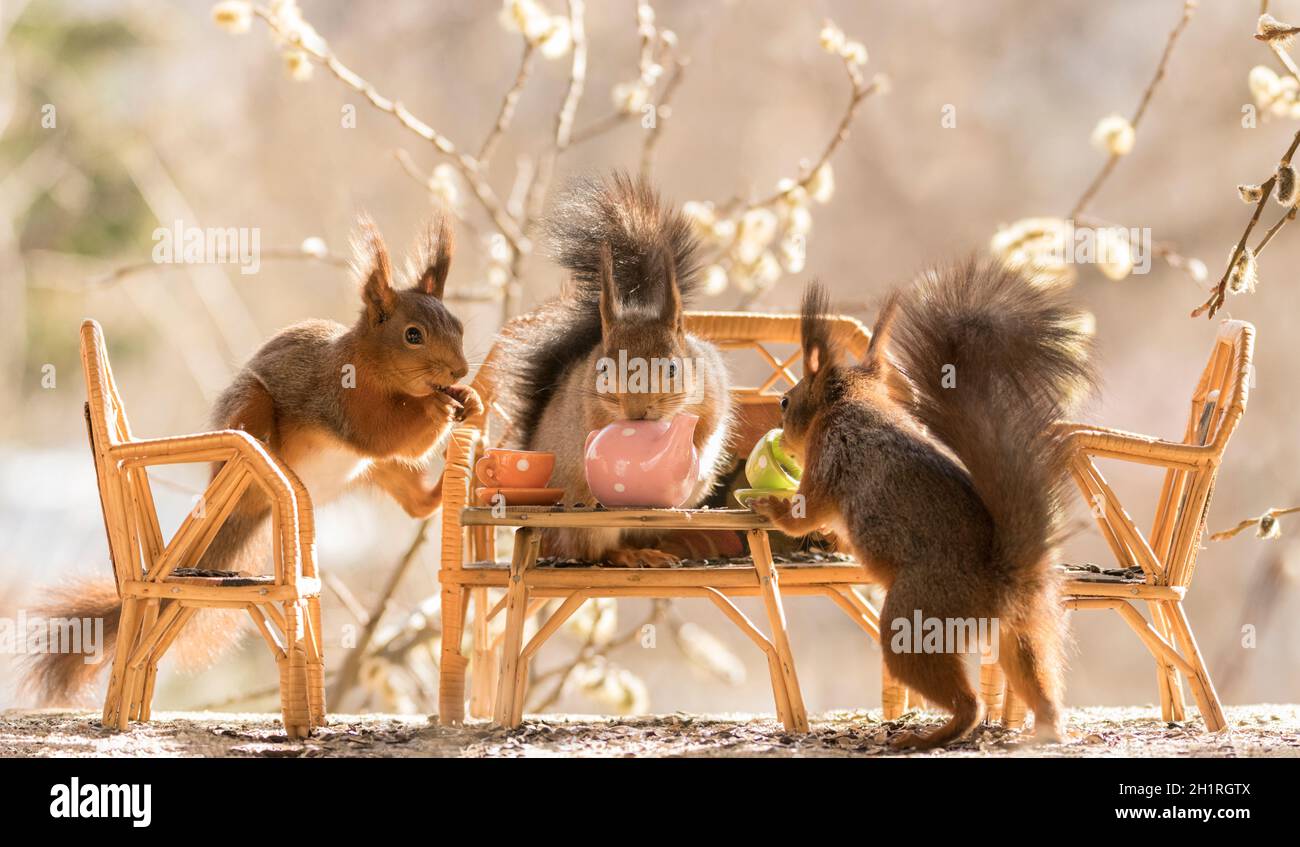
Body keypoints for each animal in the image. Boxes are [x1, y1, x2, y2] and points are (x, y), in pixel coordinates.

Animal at [28, 214, 482, 703]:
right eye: (412, 335)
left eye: (459, 326)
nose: (459, 371)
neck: (377, 370)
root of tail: (251, 505)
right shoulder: (343, 397)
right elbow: (380, 432)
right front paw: (437, 407)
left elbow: (406, 446)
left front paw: (471, 398)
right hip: (252, 406)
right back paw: (266, 452)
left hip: (379, 473)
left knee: (416, 504)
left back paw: (443, 482)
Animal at [498, 173, 734, 567]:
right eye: (605, 372)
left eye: (673, 368)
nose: (637, 412)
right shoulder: (589, 406)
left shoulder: (713, 389)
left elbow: (708, 428)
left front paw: (696, 454)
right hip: (591, 521)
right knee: (594, 551)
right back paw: (629, 554)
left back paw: (664, 548)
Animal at [750, 259, 1093, 749]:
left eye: (784, 402)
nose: (781, 431)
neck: (853, 404)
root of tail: (1002, 580)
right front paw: (828, 537)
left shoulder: (832, 455)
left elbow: (803, 514)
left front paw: (769, 505)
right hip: (1021, 630)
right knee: (1034, 677)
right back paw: (1045, 729)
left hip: (915, 618)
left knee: (969, 704)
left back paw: (925, 736)